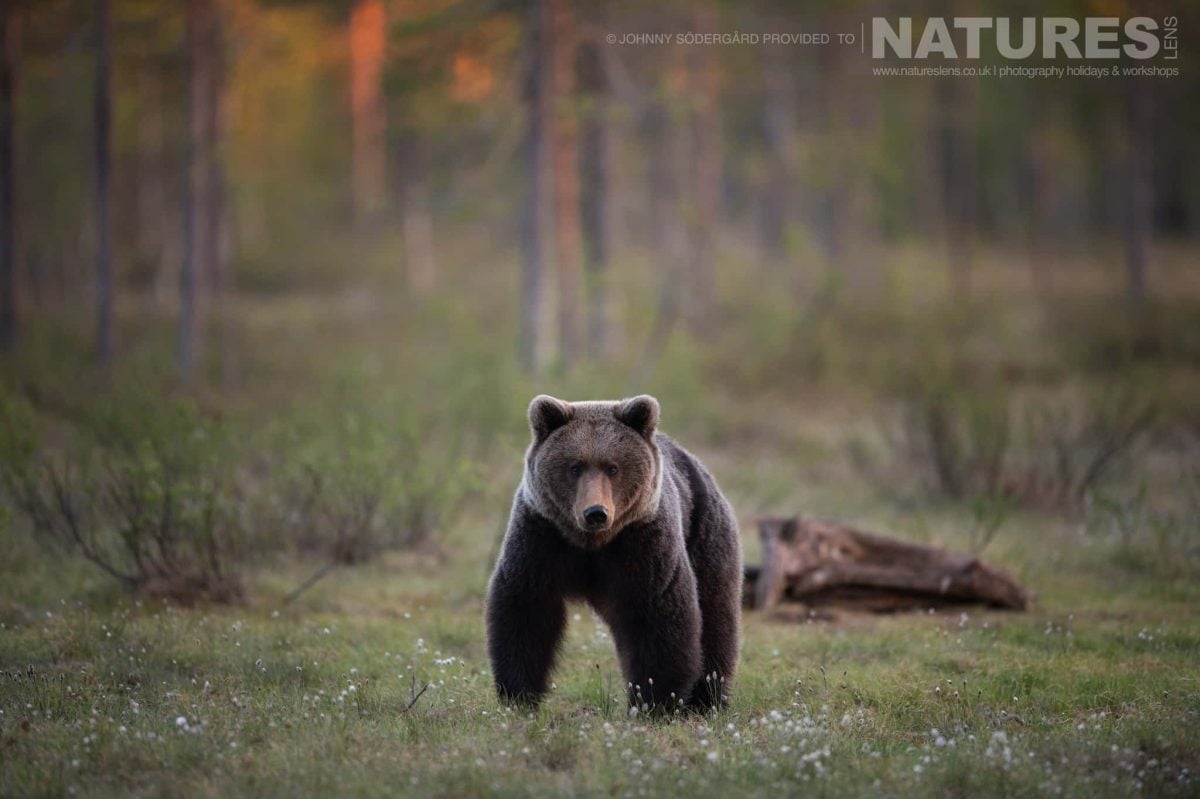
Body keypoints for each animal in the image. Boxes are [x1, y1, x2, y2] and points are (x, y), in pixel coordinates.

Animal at [485, 394, 742, 711]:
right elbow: (526, 608)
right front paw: (519, 694)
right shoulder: (542, 537)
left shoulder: (642, 543)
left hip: (706, 535)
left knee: (716, 616)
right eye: (575, 466)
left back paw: (706, 700)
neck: (592, 543)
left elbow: (659, 617)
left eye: (613, 467)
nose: (595, 512)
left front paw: (655, 700)